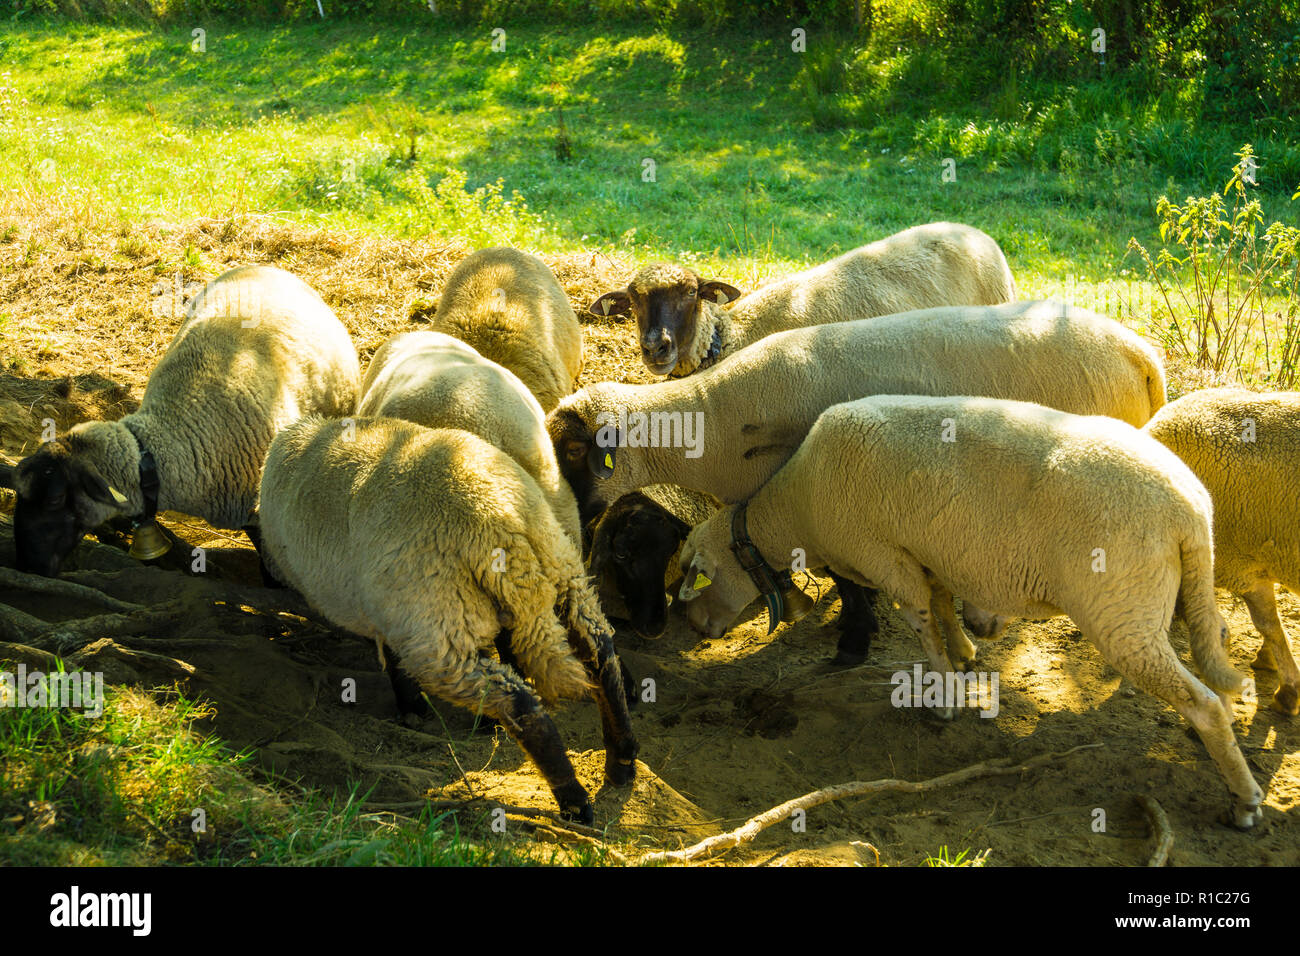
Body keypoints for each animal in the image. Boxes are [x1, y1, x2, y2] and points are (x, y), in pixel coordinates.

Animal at [257, 415, 638, 823]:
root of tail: (500, 524)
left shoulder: (392, 618)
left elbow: (395, 662)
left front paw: (411, 711)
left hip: (436, 623)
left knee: (516, 698)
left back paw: (573, 799)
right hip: (562, 567)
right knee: (600, 654)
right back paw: (621, 762)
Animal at [548, 299, 1167, 661]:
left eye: (576, 450)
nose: (568, 521)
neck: (712, 417)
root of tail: (1141, 353)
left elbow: (845, 576)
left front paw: (853, 636)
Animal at [676, 394, 1264, 829]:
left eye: (695, 575)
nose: (695, 628)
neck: (794, 511)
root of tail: (1189, 510)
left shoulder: (885, 555)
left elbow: (919, 622)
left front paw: (943, 697)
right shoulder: (922, 553)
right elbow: (941, 602)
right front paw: (964, 653)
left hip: (1121, 610)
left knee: (1201, 701)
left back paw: (1244, 801)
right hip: (1181, 592)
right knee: (1215, 654)